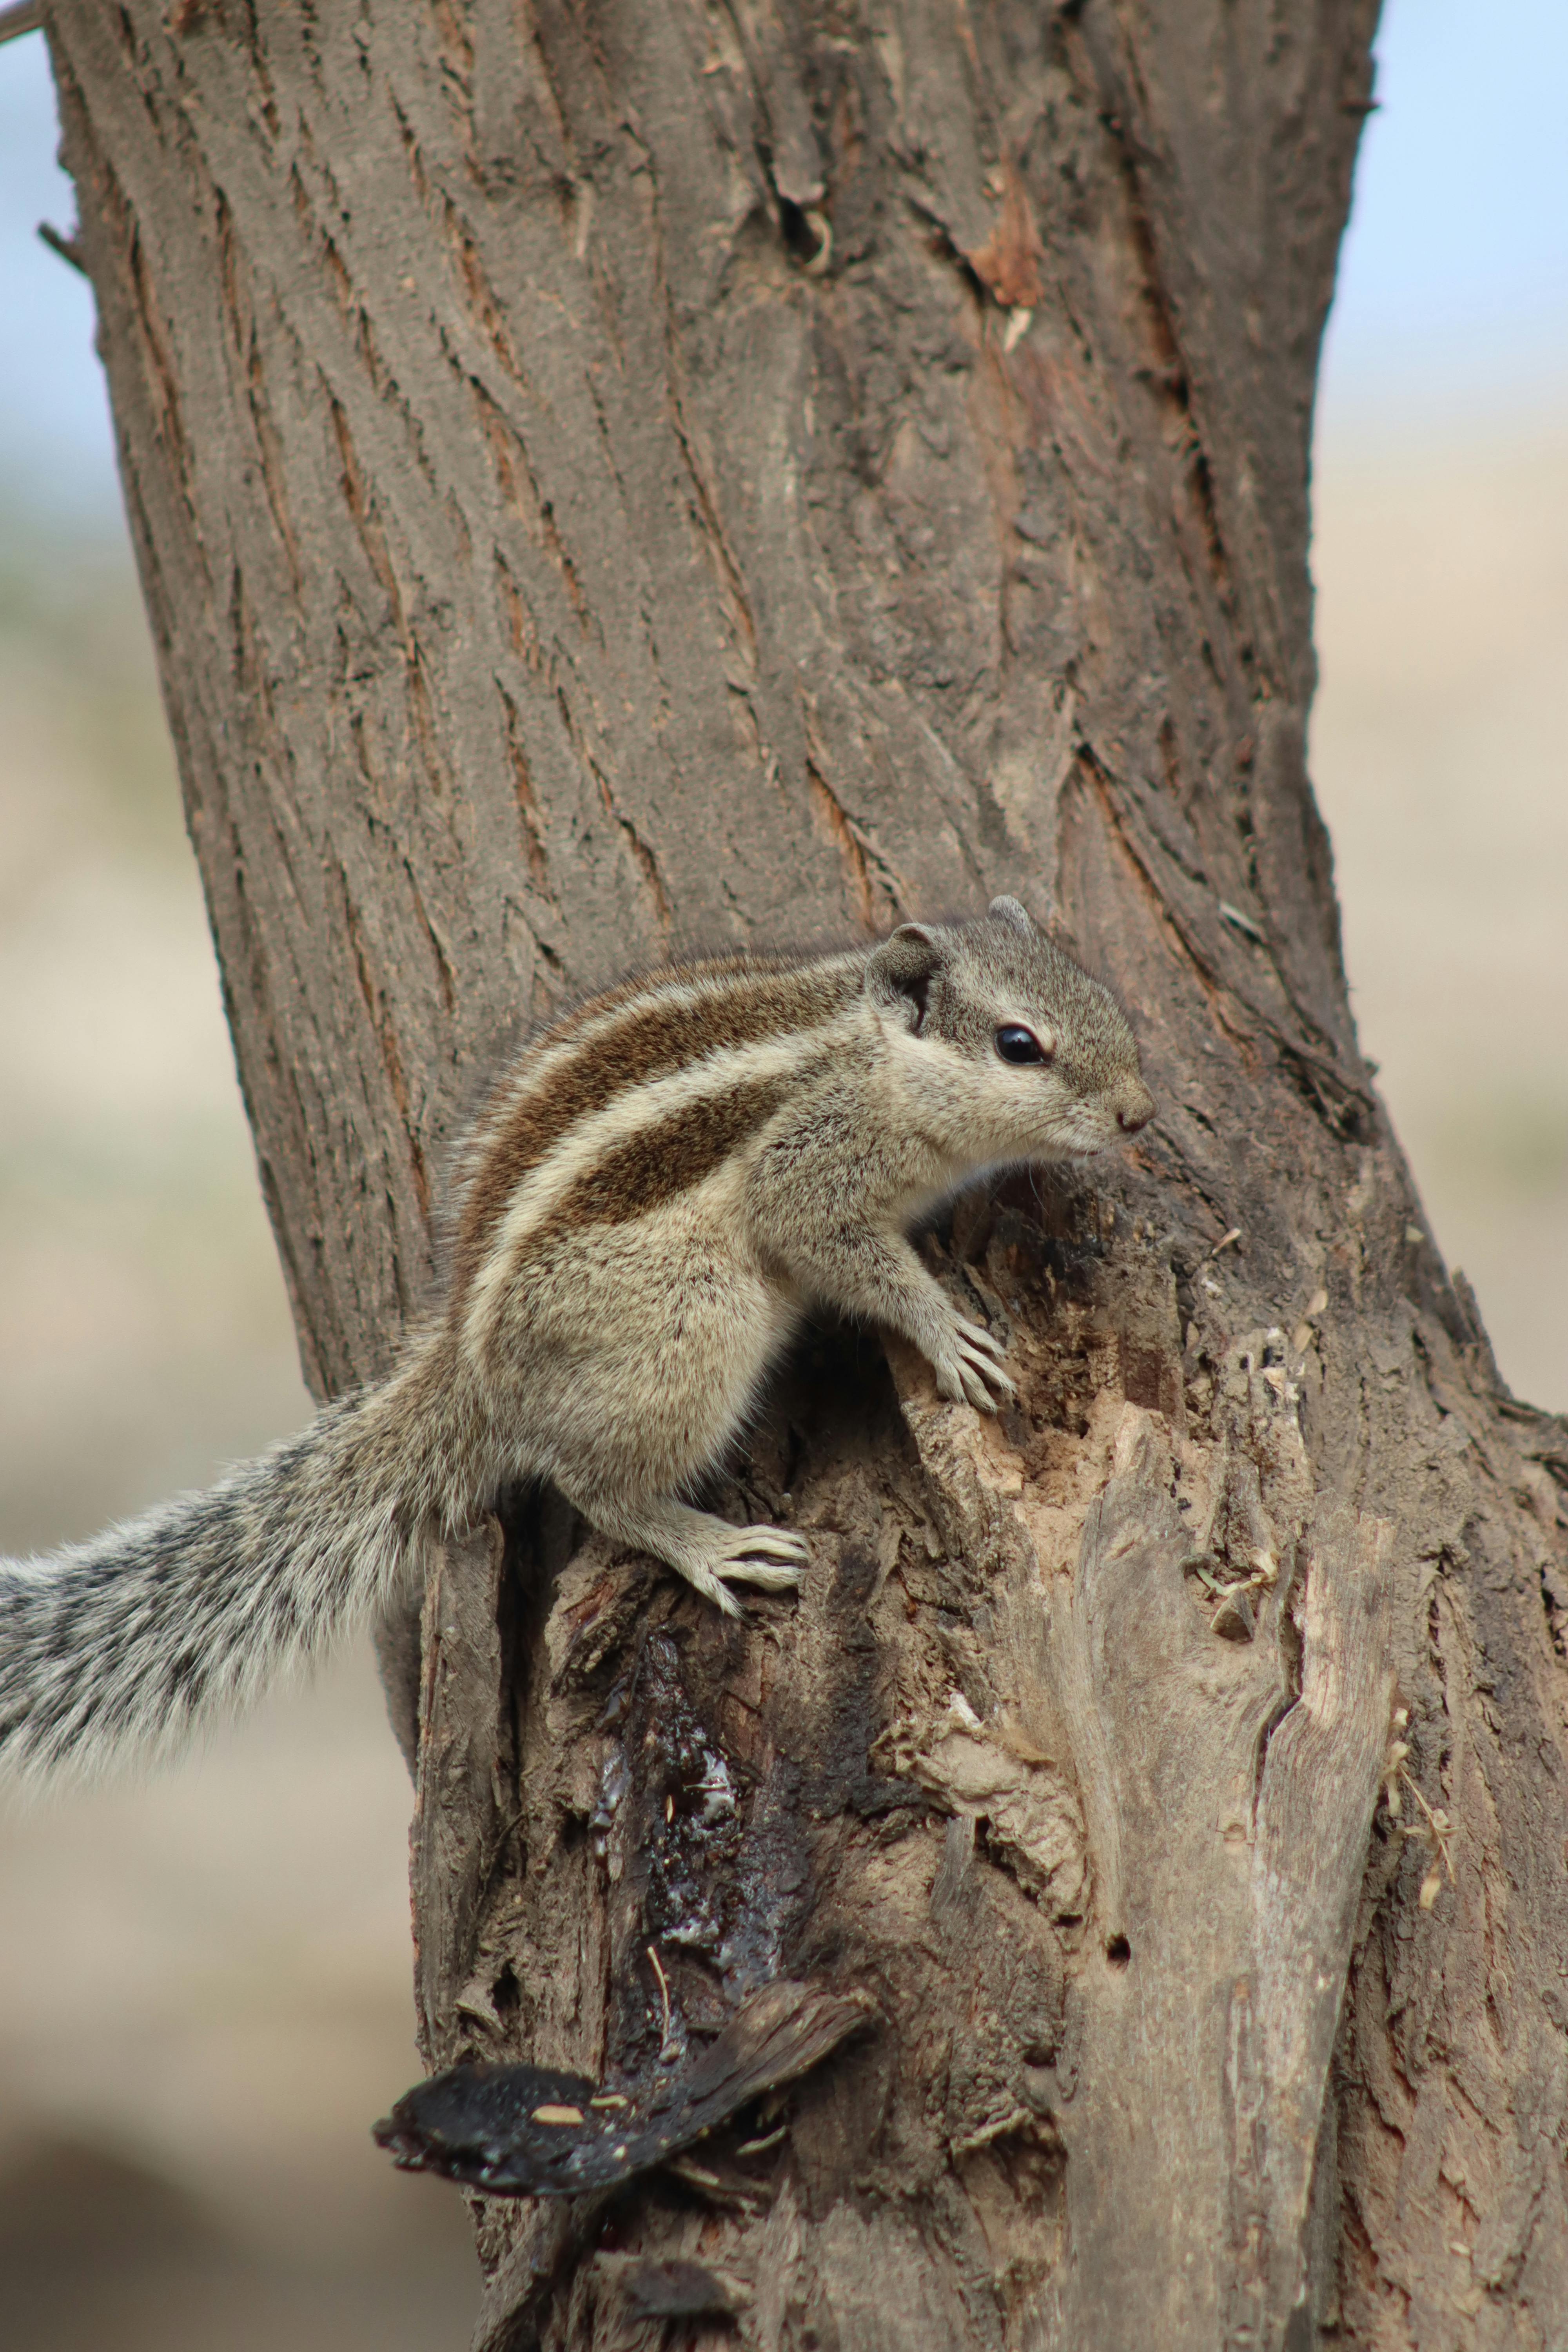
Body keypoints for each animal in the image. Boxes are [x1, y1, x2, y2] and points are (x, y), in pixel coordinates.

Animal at [0, 897, 1154, 1781]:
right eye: (1018, 1045)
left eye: (1100, 995)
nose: (1140, 1113)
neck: (873, 1054)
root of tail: (468, 1368)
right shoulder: (813, 1174)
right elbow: (841, 1252)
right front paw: (944, 1328)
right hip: (690, 1335)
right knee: (599, 1490)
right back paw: (705, 1542)